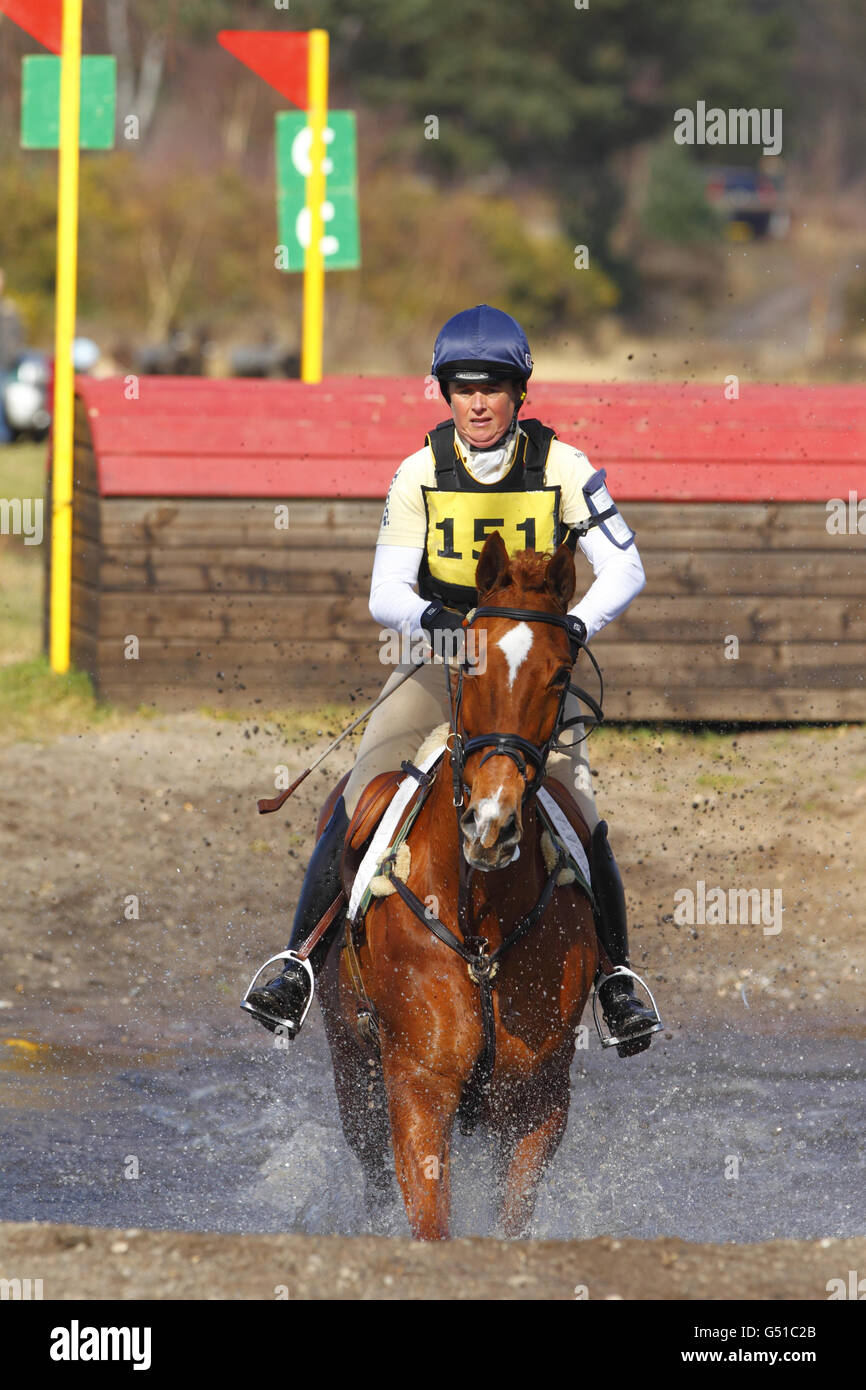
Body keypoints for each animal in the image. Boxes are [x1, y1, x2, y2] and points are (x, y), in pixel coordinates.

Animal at [316, 533, 599, 1240]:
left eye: (560, 675)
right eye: (469, 666)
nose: (491, 825)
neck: (480, 922)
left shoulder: (537, 1103)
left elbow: (511, 1220)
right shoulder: (417, 1090)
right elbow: (429, 1220)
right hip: (353, 1075)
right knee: (372, 1179)